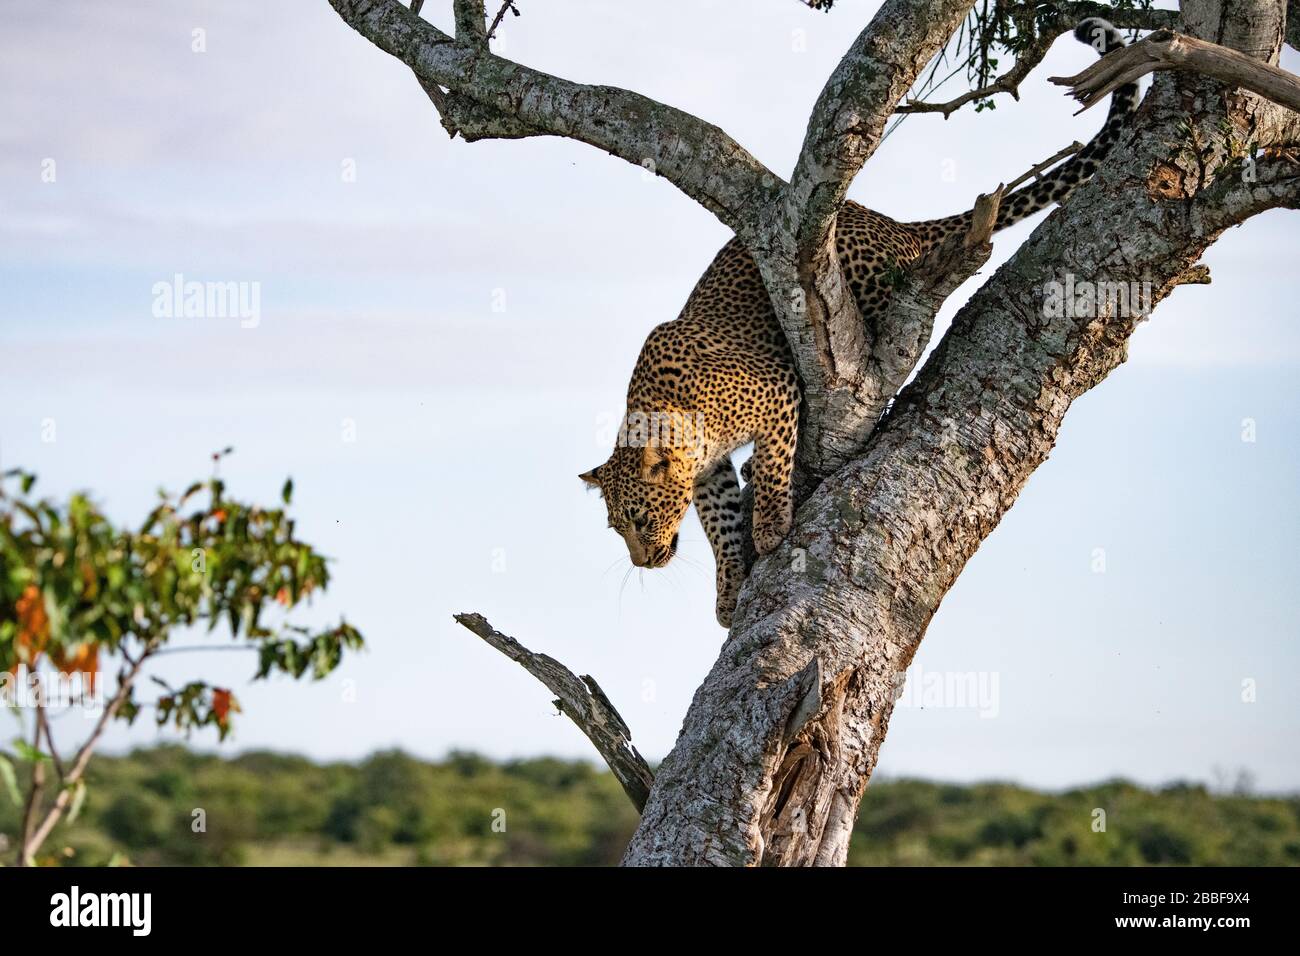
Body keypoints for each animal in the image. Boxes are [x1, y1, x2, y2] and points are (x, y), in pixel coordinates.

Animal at [580, 19, 1139, 628]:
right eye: (616, 526)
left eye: (638, 519)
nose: (644, 562)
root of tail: (893, 222)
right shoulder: (708, 471)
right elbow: (719, 524)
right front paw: (729, 588)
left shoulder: (776, 393)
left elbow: (774, 464)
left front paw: (770, 528)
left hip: (864, 276)